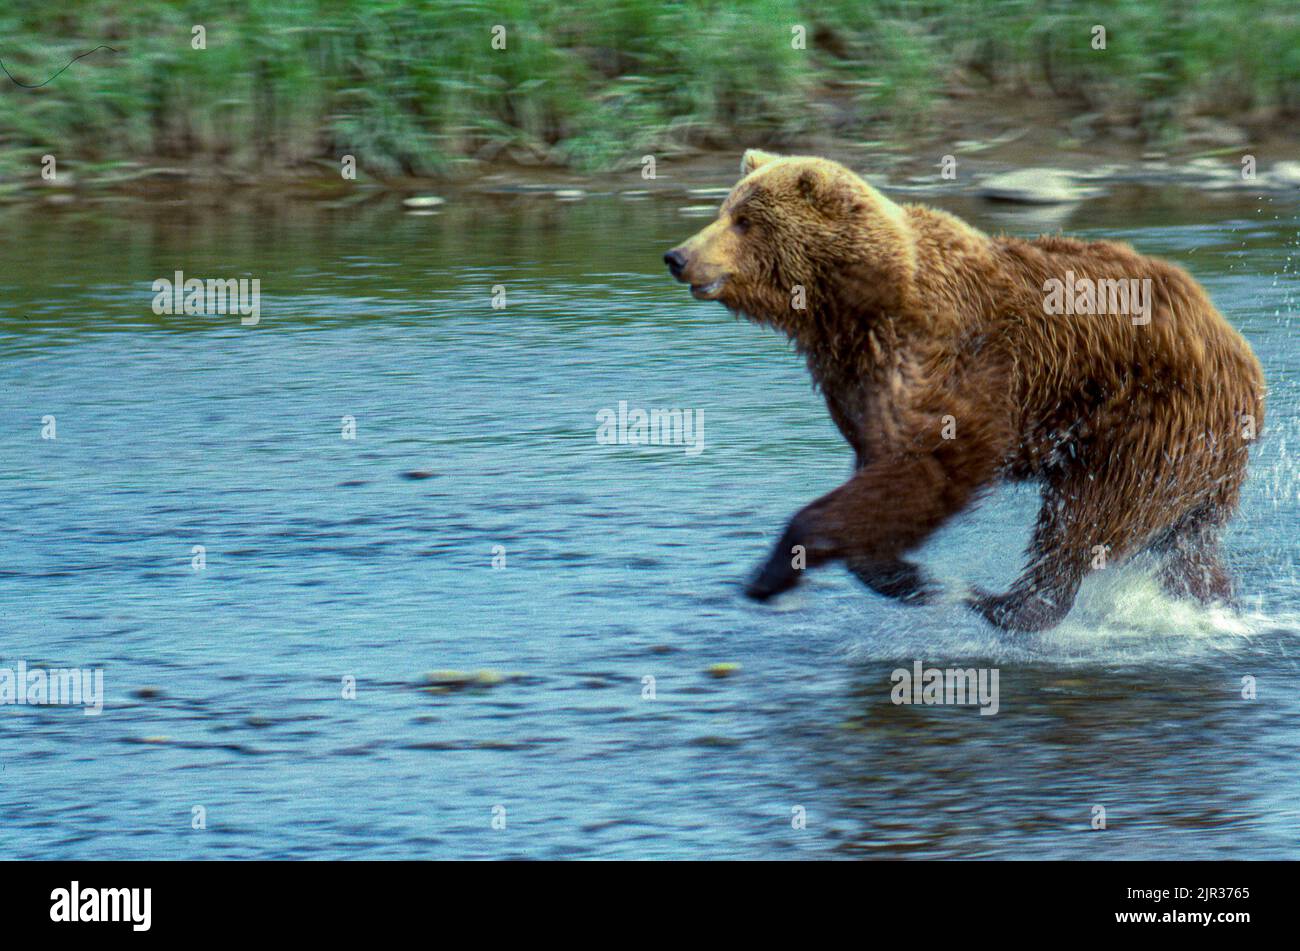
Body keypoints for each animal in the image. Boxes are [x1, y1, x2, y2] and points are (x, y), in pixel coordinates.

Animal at [664, 149, 1265, 632]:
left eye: (743, 221)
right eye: (723, 211)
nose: (677, 256)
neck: (855, 305)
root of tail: (1238, 347)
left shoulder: (946, 355)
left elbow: (932, 464)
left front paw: (781, 569)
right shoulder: (860, 380)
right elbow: (880, 476)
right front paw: (897, 575)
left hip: (1151, 415)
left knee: (1087, 513)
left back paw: (1007, 604)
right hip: (1194, 459)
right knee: (1184, 546)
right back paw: (1215, 603)